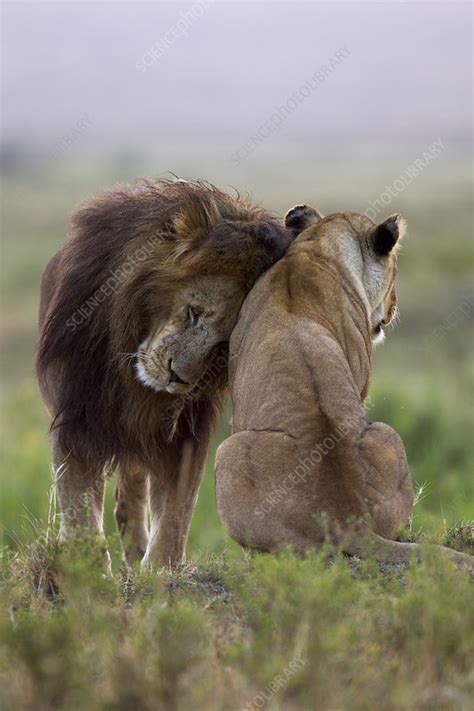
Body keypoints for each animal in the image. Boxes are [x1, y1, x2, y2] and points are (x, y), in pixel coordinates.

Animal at [36, 179, 293, 568]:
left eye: (224, 346)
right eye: (193, 313)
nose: (178, 378)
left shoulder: (186, 433)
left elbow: (176, 512)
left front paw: (158, 570)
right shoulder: (76, 417)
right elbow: (79, 508)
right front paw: (87, 570)